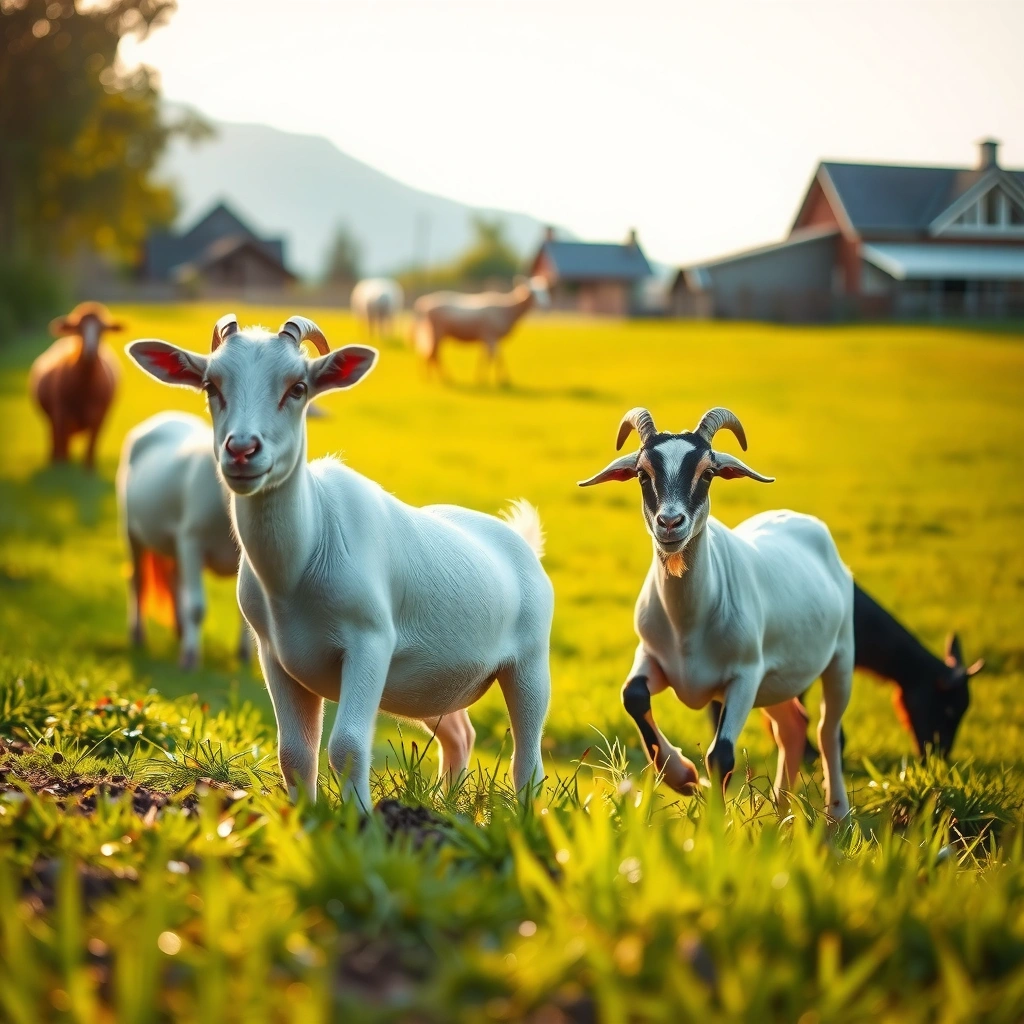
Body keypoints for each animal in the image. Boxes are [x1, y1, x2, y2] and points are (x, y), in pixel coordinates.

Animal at [29, 302, 121, 469]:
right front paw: (62, 468)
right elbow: (62, 449)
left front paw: (88, 470)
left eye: (102, 330)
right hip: (54, 419)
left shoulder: (99, 417)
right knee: (56, 441)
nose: (90, 350)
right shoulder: (61, 413)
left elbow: (90, 451)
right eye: (79, 329)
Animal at [117, 411, 251, 670]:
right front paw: (190, 658)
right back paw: (138, 635)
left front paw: (244, 655)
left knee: (173, 578)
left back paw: (180, 630)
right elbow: (196, 606)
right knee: (137, 580)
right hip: (131, 530)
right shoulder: (191, 540)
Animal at [411, 276, 550, 383]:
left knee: (430, 354)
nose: (545, 305)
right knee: (433, 354)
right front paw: (500, 380)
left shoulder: (488, 338)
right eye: (532, 293)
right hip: (436, 332)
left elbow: (488, 358)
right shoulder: (491, 336)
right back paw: (443, 378)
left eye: (544, 291)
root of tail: (423, 303)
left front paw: (484, 379)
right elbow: (494, 358)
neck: (507, 309)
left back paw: (433, 377)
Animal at [579, 406, 854, 818]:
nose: (670, 523)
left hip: (839, 657)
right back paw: (780, 813)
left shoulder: (744, 676)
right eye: (642, 473)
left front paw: (714, 820)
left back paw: (836, 813)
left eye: (708, 473)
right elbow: (633, 695)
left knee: (827, 730)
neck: (688, 626)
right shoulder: (653, 657)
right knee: (793, 726)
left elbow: (720, 754)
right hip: (776, 682)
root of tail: (802, 521)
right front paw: (683, 776)